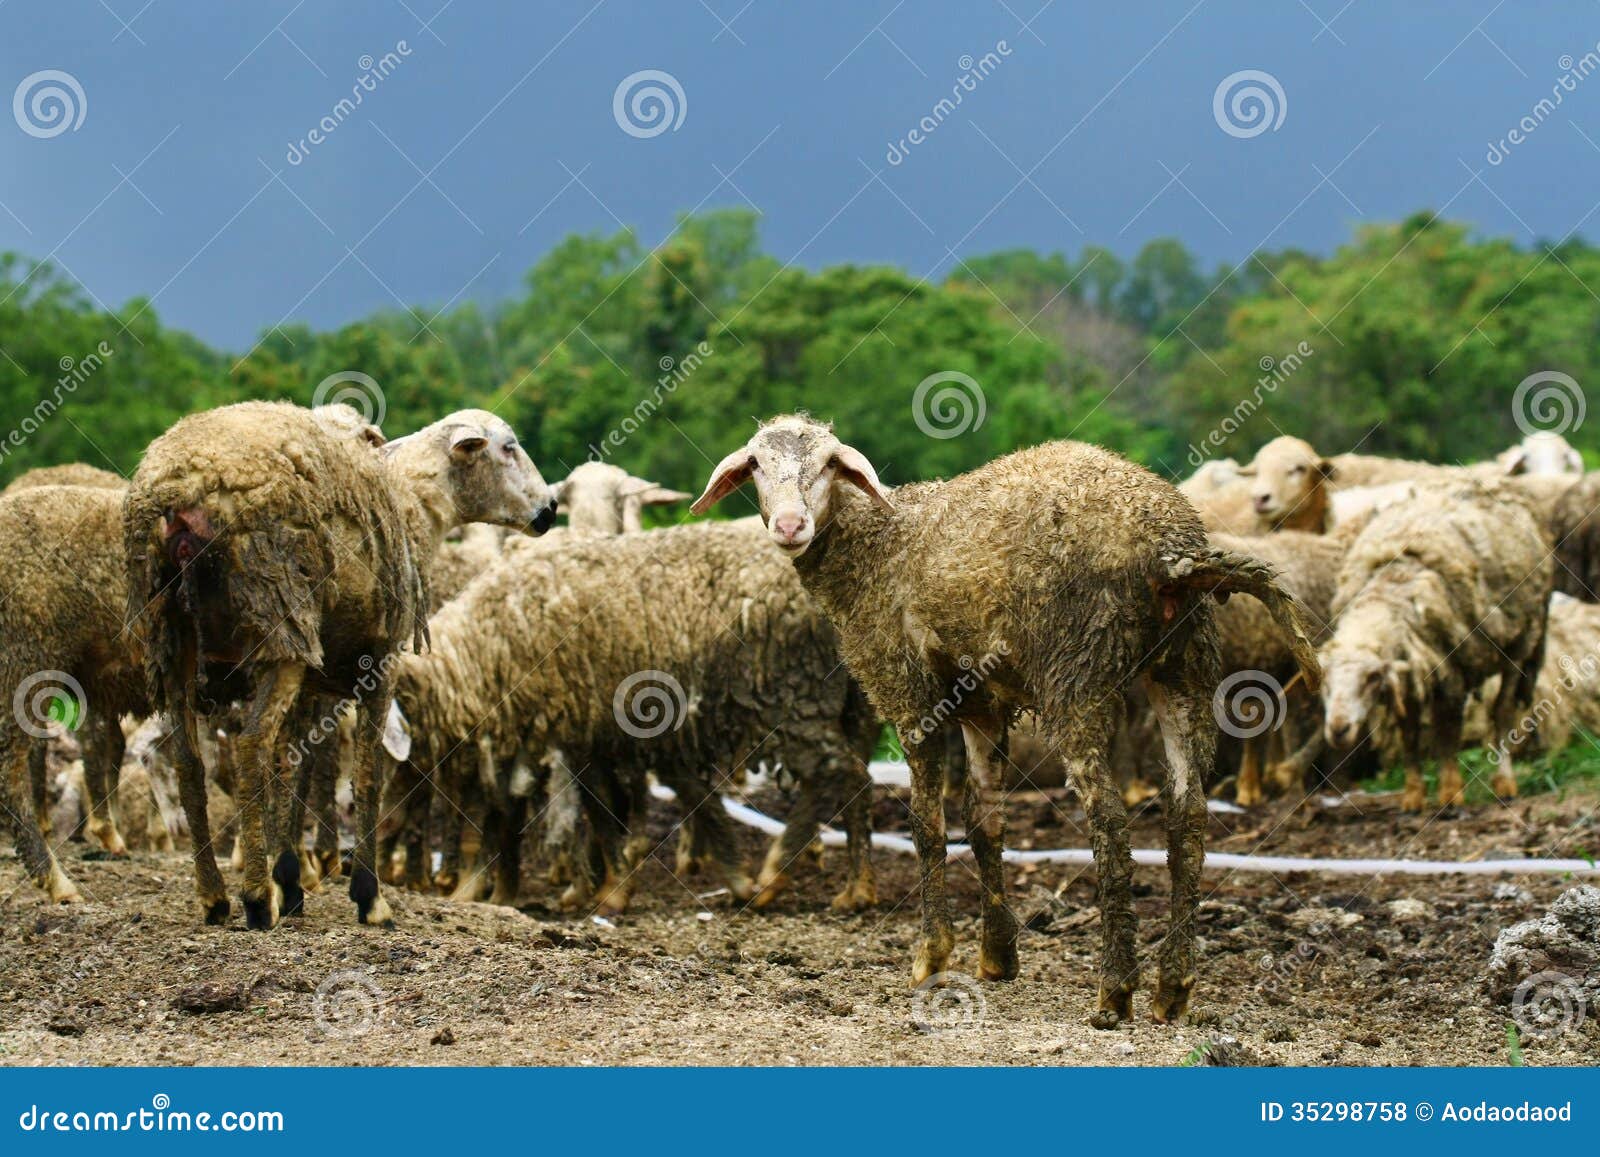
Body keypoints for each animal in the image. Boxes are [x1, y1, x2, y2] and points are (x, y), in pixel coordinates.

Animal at [123, 400, 556, 930]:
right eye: (508, 447)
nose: (550, 510)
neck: (412, 504)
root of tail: (177, 492)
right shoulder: (380, 660)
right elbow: (367, 772)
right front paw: (368, 896)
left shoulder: (311, 673)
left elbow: (295, 766)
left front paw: (290, 879)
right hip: (277, 617)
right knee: (249, 745)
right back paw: (254, 900)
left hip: (173, 636)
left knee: (189, 761)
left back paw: (214, 897)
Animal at [388, 518, 880, 915]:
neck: (484, 652)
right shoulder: (599, 729)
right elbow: (629, 802)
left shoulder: (583, 723)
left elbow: (603, 808)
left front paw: (614, 891)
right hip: (848, 700)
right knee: (857, 777)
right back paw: (856, 890)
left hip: (790, 690)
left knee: (830, 769)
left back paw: (774, 875)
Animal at [691, 415, 1321, 1027]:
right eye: (756, 465)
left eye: (827, 464)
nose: (790, 525)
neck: (876, 548)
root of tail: (1169, 551)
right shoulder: (981, 705)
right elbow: (983, 824)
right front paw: (997, 954)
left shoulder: (908, 692)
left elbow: (927, 824)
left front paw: (932, 955)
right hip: (1186, 668)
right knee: (1187, 820)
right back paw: (1173, 987)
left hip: (1077, 675)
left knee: (1111, 823)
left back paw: (1115, 991)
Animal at [1320, 480, 1550, 811]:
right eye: (1324, 680)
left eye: (1372, 677)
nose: (1338, 730)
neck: (1392, 585)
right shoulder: (1409, 673)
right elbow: (1409, 732)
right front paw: (1413, 795)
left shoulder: (1450, 670)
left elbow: (1447, 730)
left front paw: (1451, 793)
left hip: (1521, 642)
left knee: (1502, 711)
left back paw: (1505, 781)